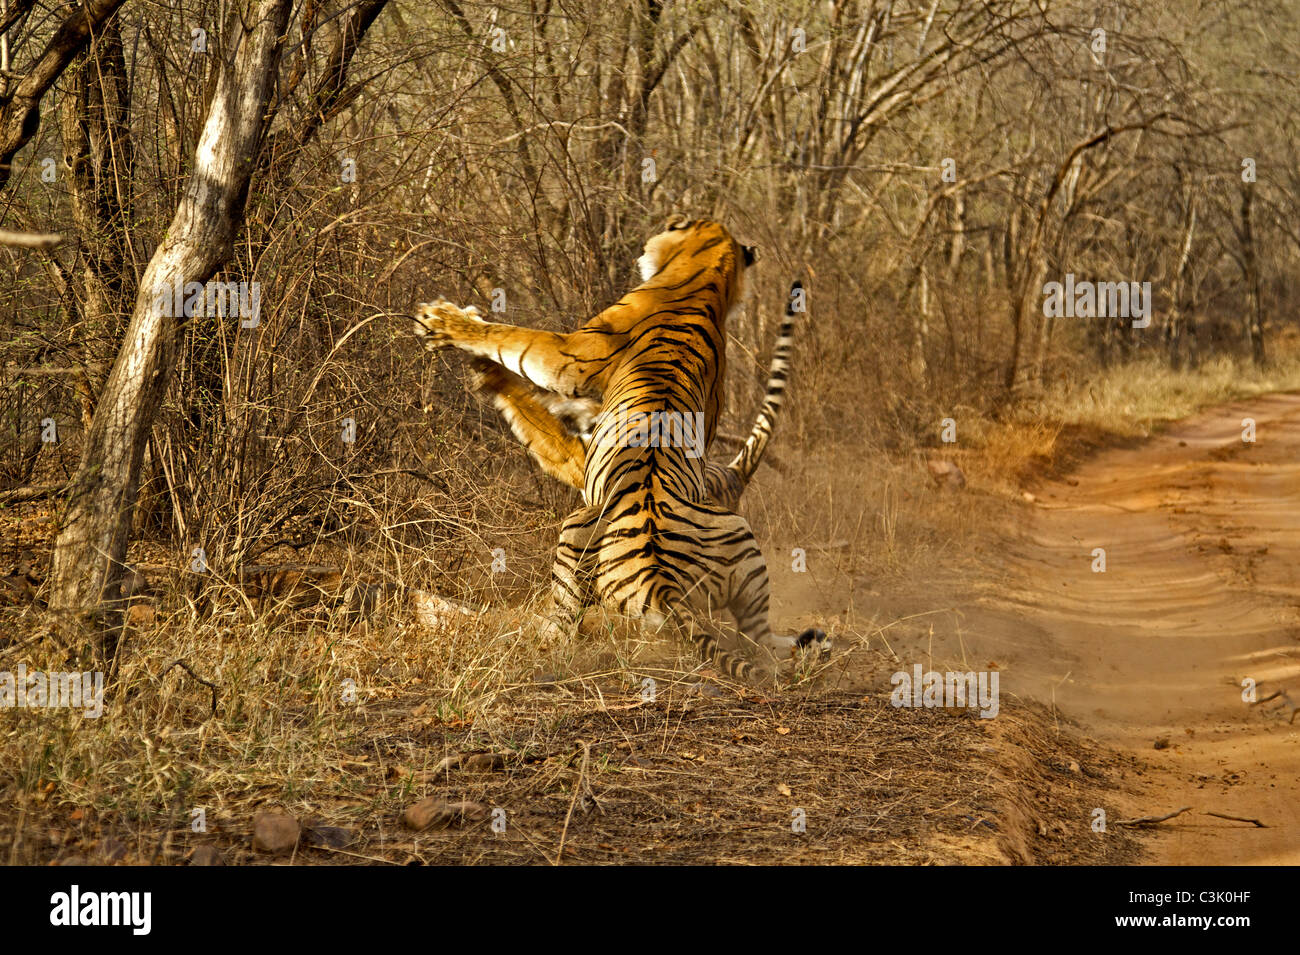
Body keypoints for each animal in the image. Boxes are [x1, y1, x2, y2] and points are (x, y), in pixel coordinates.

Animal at [412, 215, 826, 680]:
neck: (706, 274)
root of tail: (664, 587)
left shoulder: (571, 359)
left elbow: (514, 352)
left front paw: (446, 325)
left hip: (580, 525)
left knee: (563, 628)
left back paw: (527, 633)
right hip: (738, 533)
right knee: (759, 640)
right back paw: (805, 644)